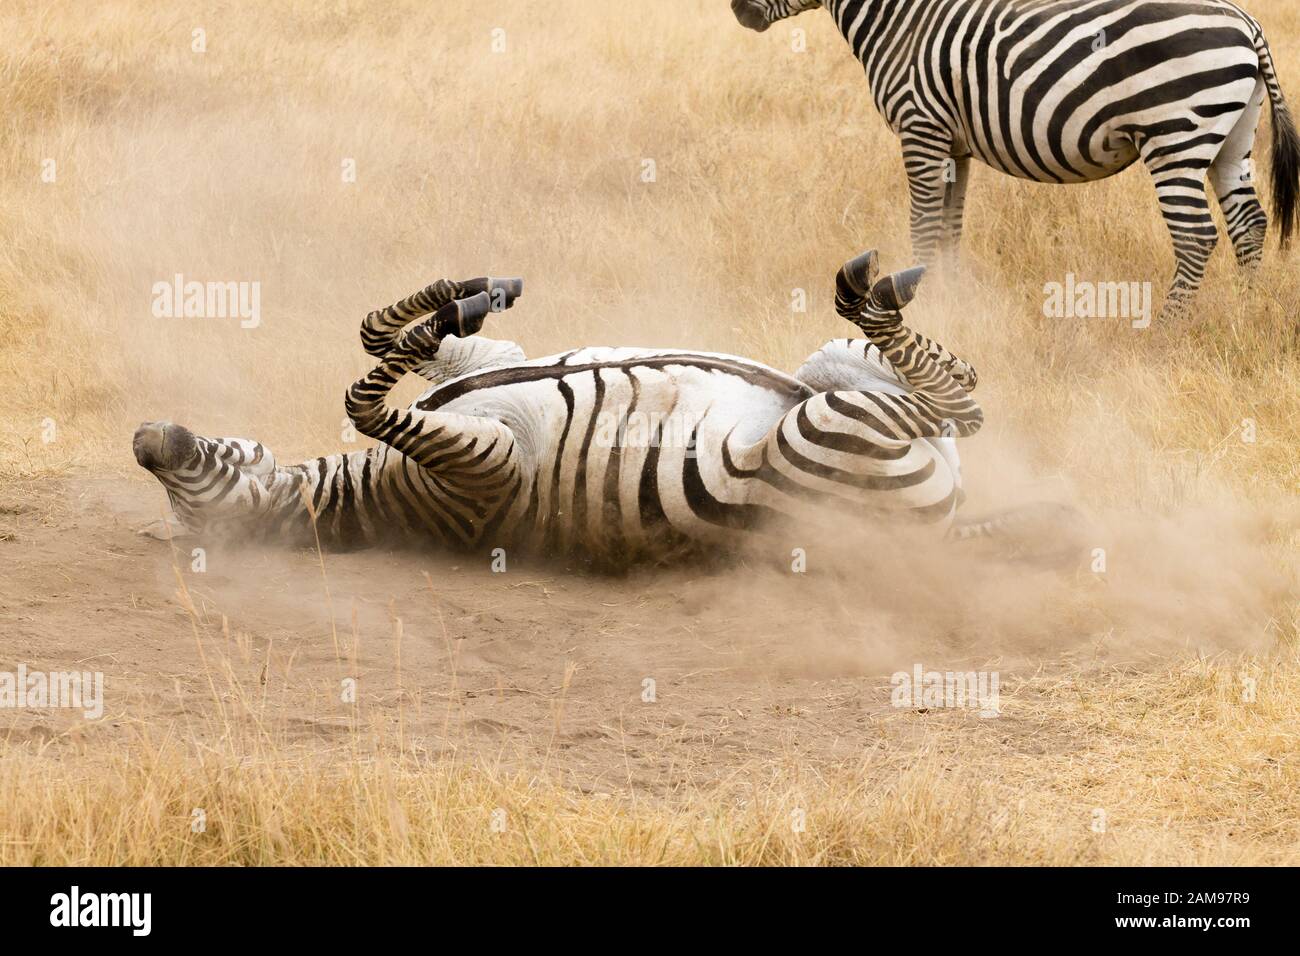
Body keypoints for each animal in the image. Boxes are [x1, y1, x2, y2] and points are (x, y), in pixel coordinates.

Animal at [133, 253, 1068, 566]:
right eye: (198, 503)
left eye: (218, 457)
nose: (146, 437)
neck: (377, 492)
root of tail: (942, 530)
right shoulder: (482, 471)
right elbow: (363, 400)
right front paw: (459, 300)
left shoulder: (485, 375)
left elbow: (371, 338)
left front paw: (467, 289)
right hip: (826, 429)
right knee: (959, 400)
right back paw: (872, 288)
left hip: (830, 378)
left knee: (959, 402)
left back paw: (879, 286)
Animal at [731, 0, 1300, 319]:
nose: (738, 11)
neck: (900, 21)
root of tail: (1246, 21)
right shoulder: (954, 144)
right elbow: (949, 228)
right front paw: (949, 301)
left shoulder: (921, 127)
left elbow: (922, 226)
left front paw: (918, 304)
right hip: (1231, 138)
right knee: (1249, 224)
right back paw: (1246, 314)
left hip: (1176, 135)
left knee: (1196, 236)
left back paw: (1166, 332)